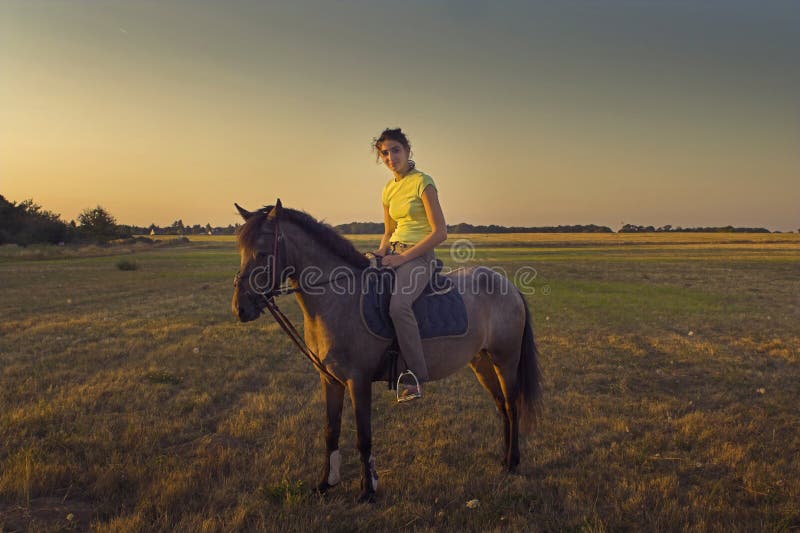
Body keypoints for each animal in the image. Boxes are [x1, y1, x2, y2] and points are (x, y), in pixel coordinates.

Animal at [231, 200, 541, 503]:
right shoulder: (330, 380)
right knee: (501, 405)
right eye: (241, 251)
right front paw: (325, 483)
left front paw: (368, 489)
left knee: (511, 405)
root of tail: (508, 285)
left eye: (262, 253)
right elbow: (331, 431)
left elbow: (363, 436)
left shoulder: (358, 380)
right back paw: (503, 459)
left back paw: (513, 462)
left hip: (506, 360)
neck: (339, 299)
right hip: (482, 362)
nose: (240, 308)